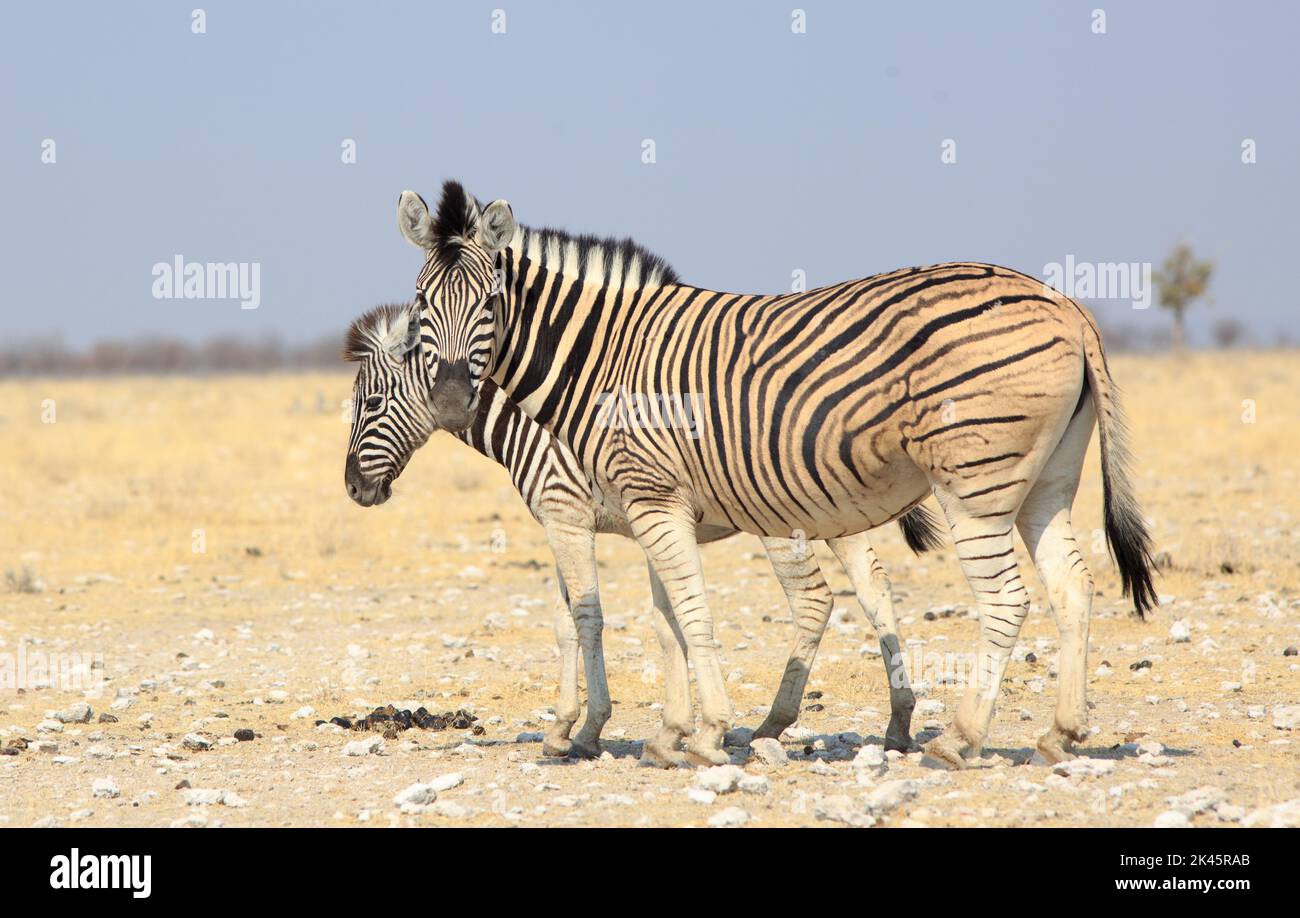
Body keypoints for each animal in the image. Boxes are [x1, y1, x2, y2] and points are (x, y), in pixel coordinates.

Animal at [343, 303, 943, 762]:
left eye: (370, 403)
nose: (352, 488)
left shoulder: (565, 515)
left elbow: (581, 621)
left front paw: (578, 730)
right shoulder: (611, 520)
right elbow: (632, 623)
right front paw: (652, 732)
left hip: (783, 518)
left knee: (814, 599)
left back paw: (774, 723)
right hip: (838, 512)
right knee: (874, 589)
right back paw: (898, 723)